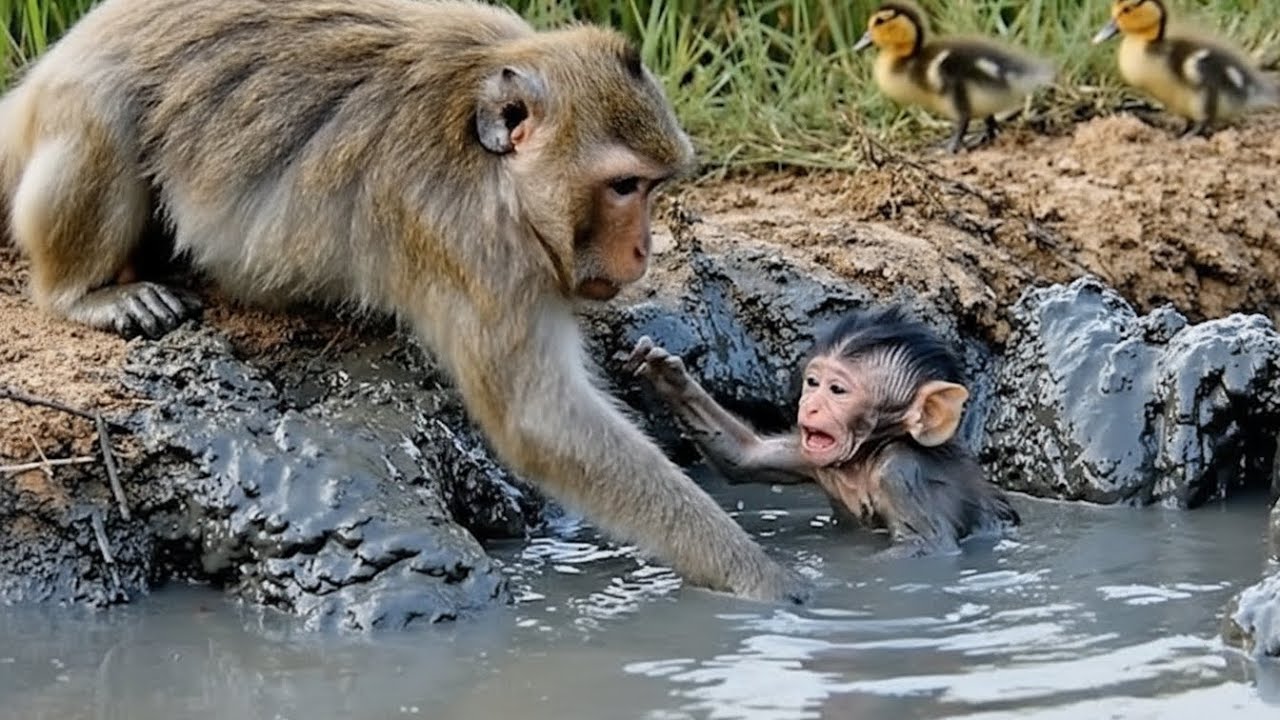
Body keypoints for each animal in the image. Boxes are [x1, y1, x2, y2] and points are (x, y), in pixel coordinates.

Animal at [0, 0, 807, 603]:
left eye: (654, 188)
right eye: (624, 186)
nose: (643, 250)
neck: (495, 165)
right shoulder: (473, 243)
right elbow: (539, 423)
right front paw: (765, 582)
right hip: (74, 109)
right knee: (105, 119)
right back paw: (84, 293)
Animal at [624, 306, 1020, 557]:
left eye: (837, 390)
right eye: (813, 383)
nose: (810, 404)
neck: (865, 457)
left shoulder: (904, 472)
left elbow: (927, 545)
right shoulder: (809, 452)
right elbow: (745, 457)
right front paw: (668, 376)